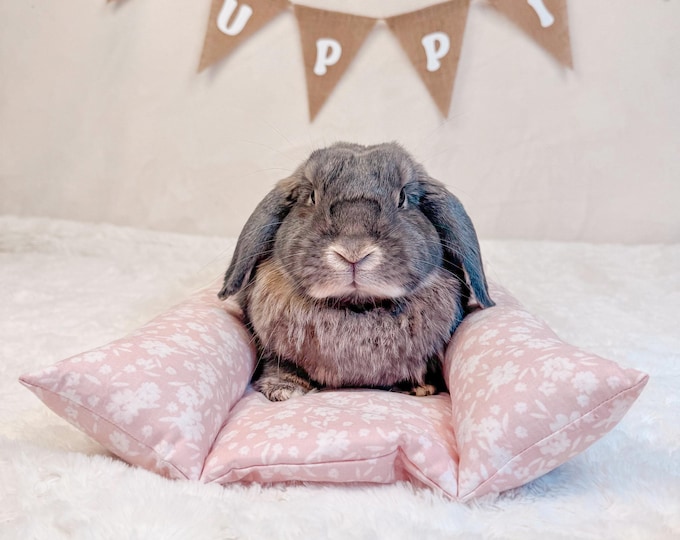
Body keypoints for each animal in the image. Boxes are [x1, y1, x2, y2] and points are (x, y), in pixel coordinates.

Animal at [218, 142, 494, 401]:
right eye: (312, 197)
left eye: (403, 198)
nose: (353, 252)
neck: (356, 306)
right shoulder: (275, 351)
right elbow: (281, 366)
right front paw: (284, 390)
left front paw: (420, 387)